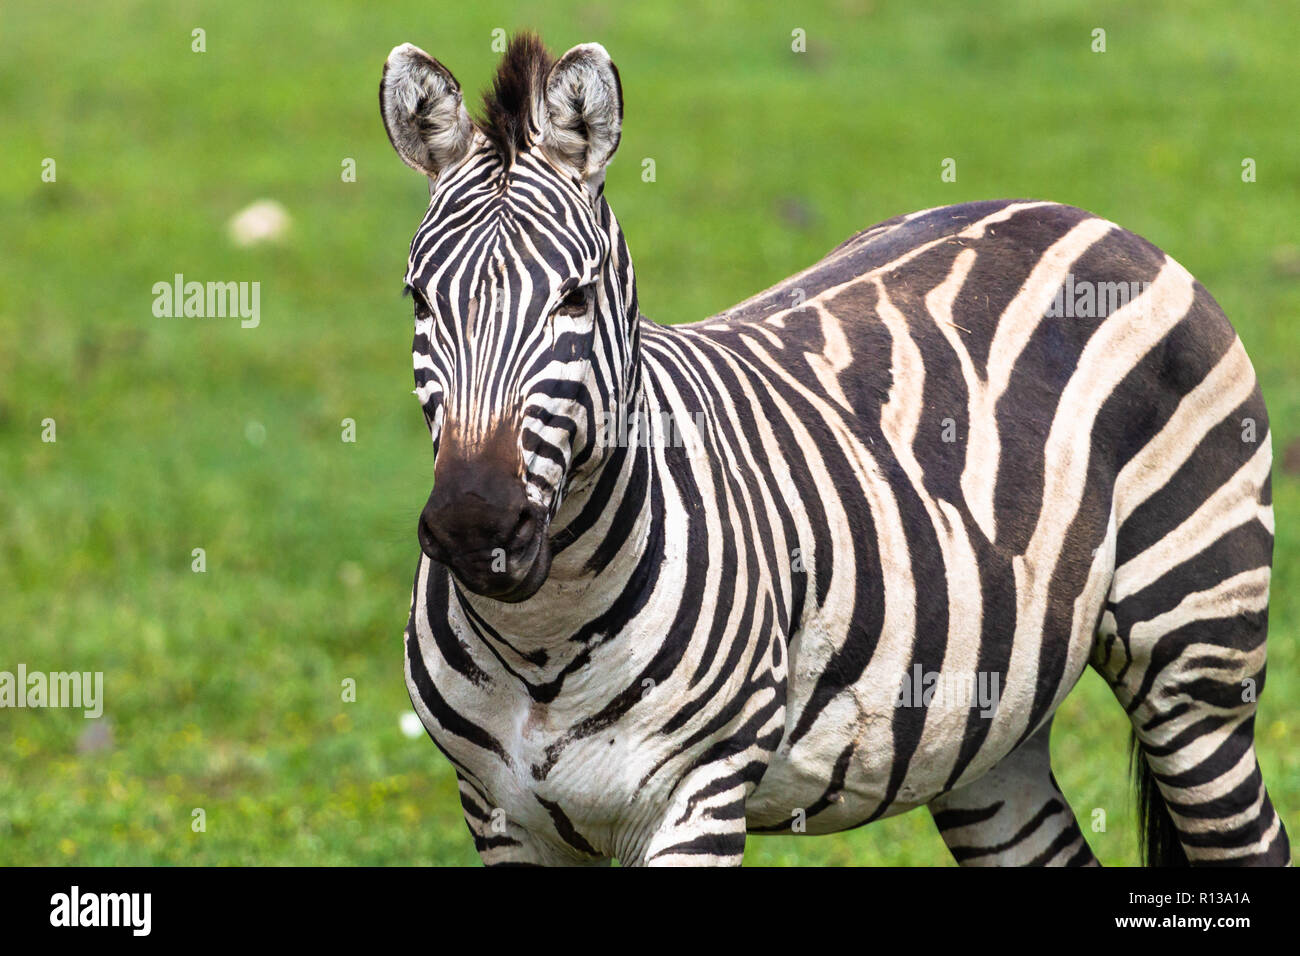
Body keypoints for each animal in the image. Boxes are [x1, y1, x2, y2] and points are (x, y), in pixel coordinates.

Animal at [379, 32, 1291, 866]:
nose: (475, 527)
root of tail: (1083, 217)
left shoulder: (697, 794)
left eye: (575, 297)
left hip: (1196, 659)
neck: (544, 637)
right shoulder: (496, 812)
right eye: (417, 299)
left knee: (1249, 834)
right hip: (985, 726)